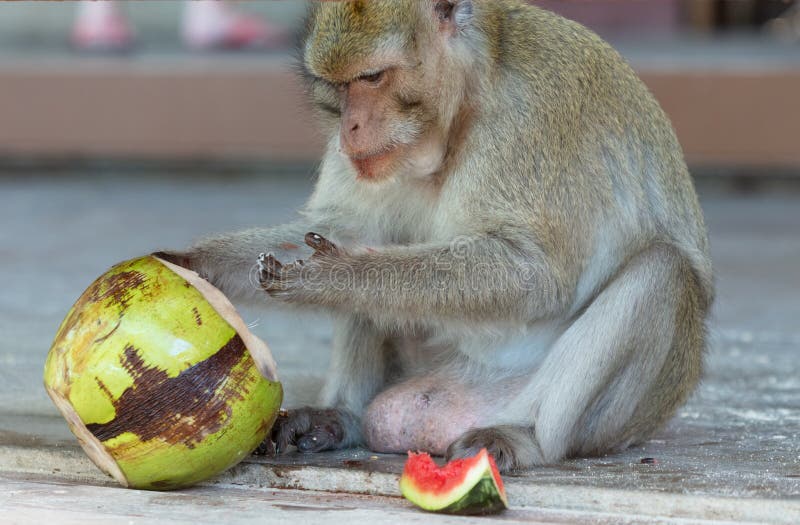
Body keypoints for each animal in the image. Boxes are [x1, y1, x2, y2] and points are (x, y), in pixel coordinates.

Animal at [156, 0, 713, 472]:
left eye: (372, 77)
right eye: (338, 86)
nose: (349, 128)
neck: (461, 111)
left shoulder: (525, 120)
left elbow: (535, 275)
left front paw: (337, 276)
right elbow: (344, 226)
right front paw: (190, 264)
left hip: (617, 418)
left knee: (662, 271)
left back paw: (526, 435)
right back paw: (342, 417)